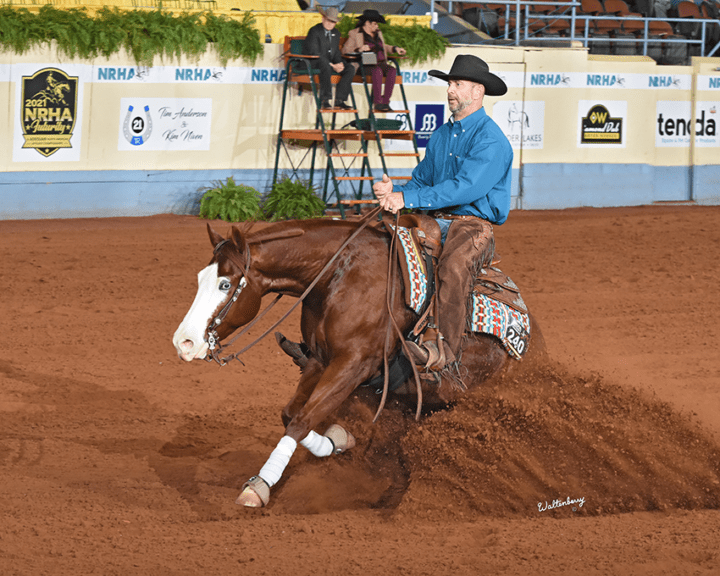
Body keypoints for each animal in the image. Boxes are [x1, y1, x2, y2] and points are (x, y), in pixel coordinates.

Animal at [172, 217, 546, 508]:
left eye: (225, 284)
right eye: (199, 278)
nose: (183, 342)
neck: (340, 275)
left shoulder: (354, 364)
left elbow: (301, 419)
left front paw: (259, 486)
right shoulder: (320, 360)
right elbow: (293, 415)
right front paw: (337, 440)